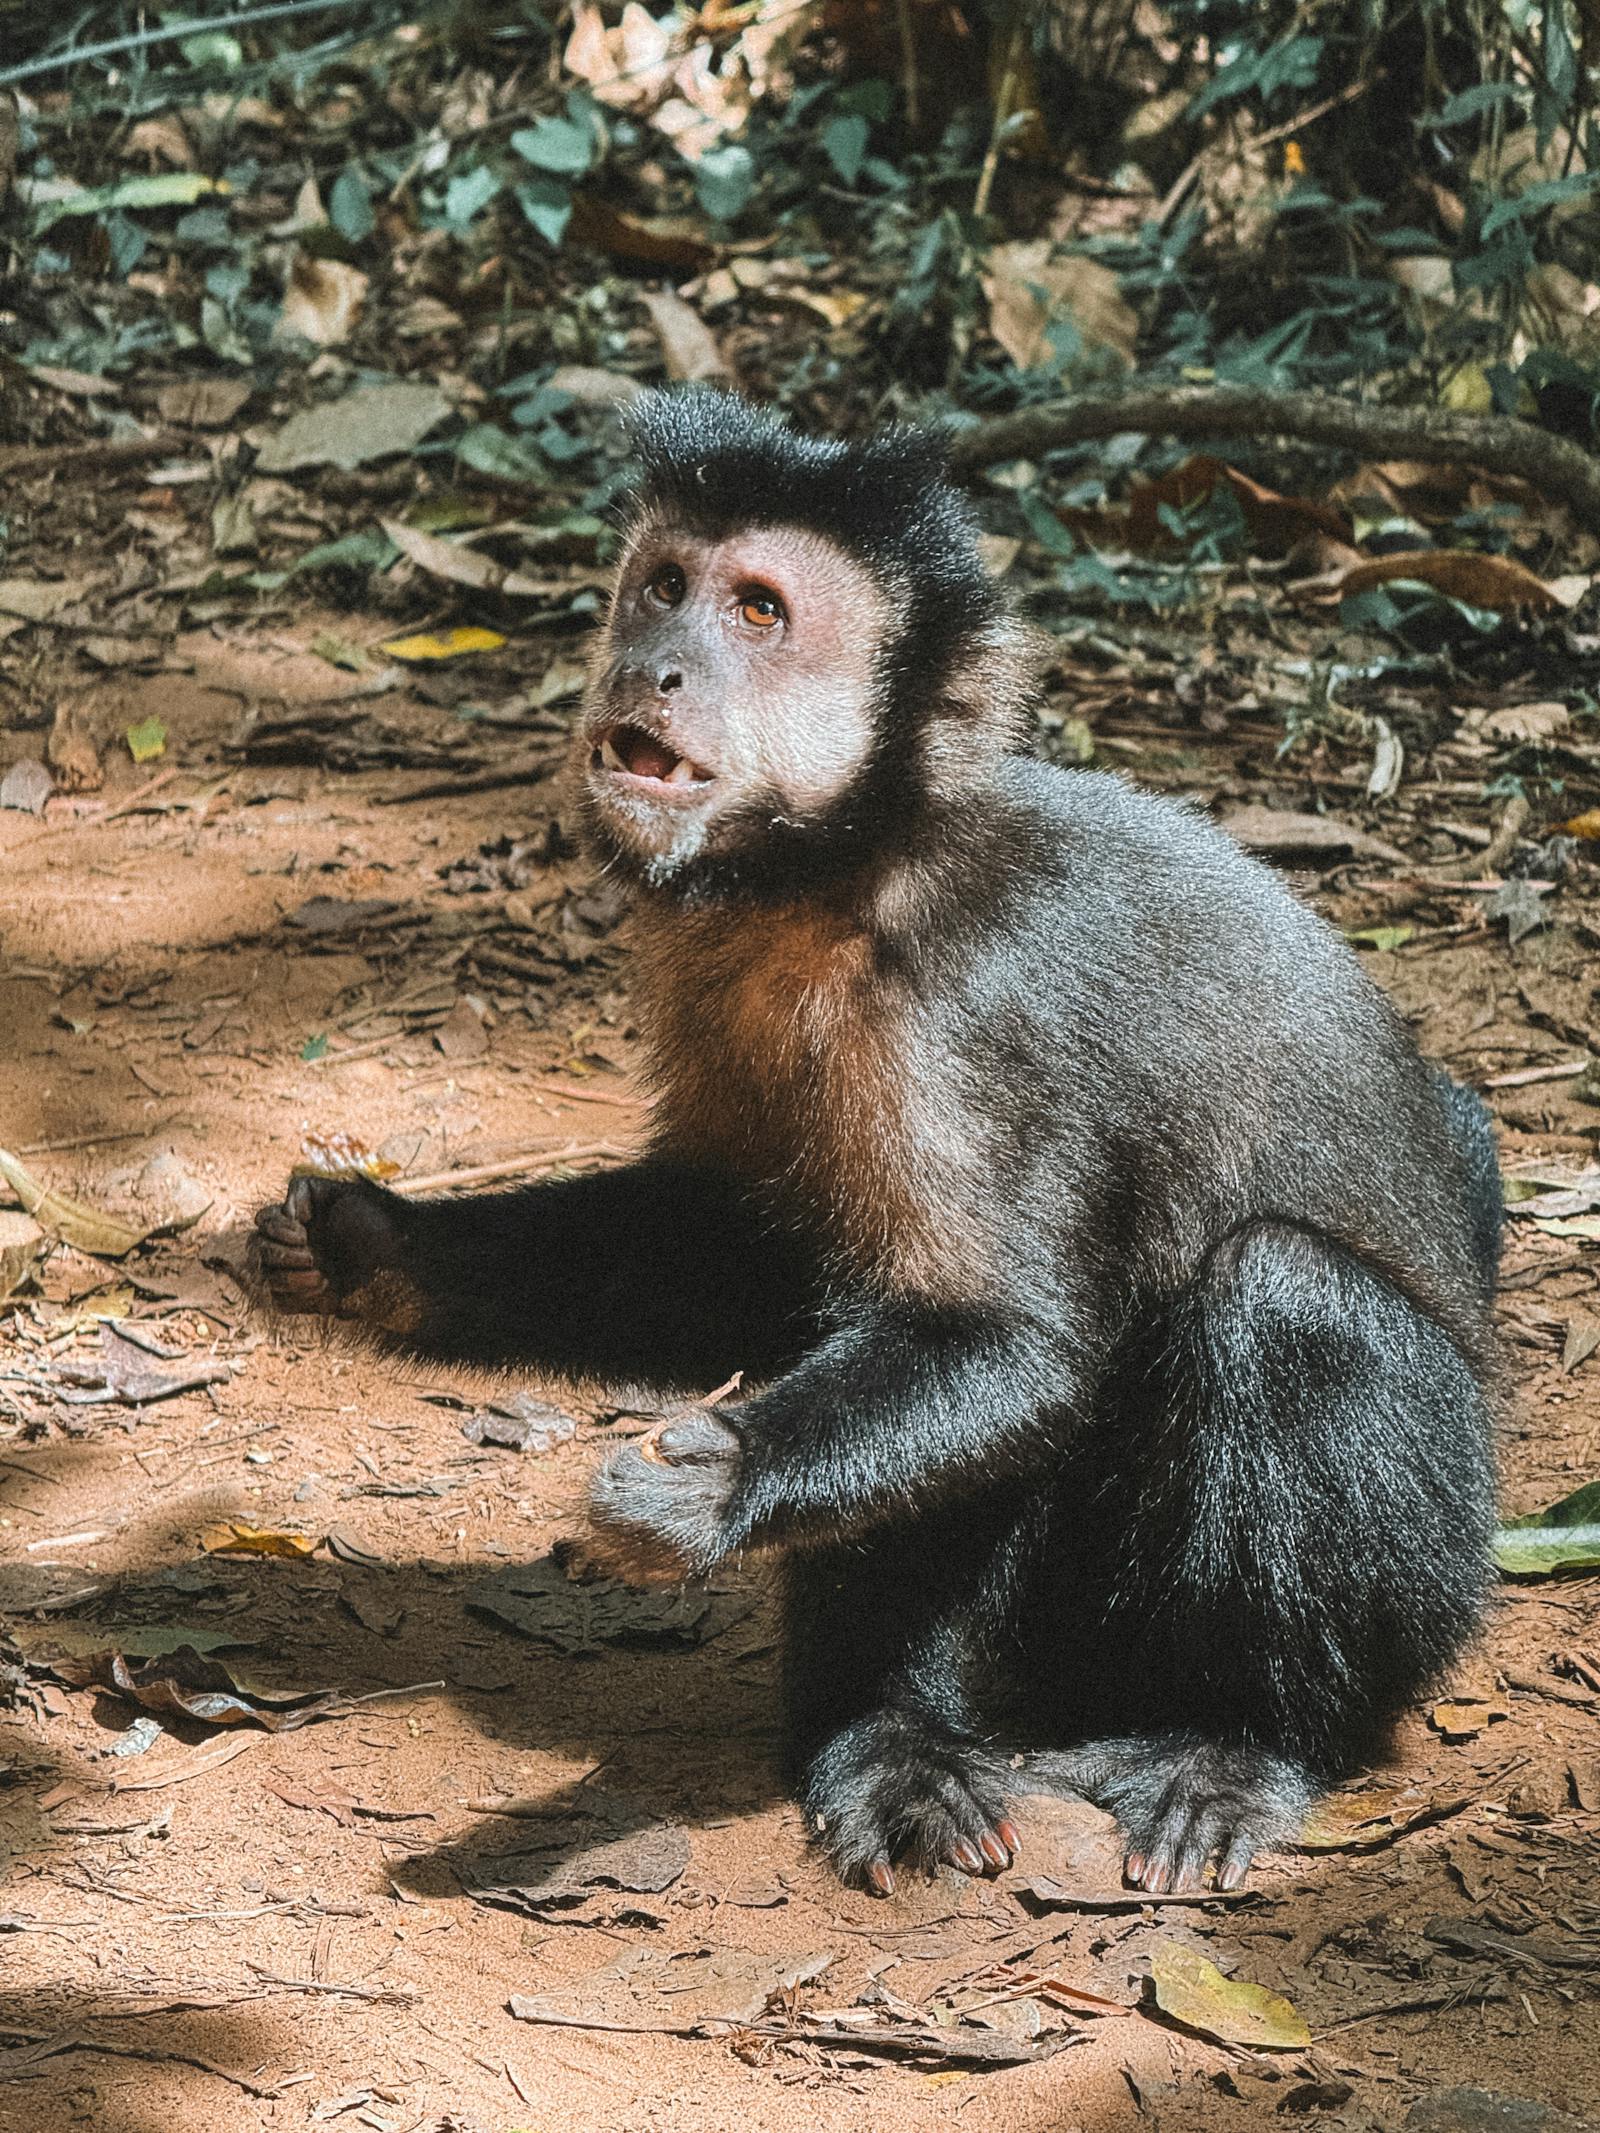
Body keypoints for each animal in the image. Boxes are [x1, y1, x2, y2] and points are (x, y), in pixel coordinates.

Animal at [256, 388, 1502, 1898]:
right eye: (662, 587)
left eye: (757, 610)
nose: (656, 669)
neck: (847, 870)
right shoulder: (714, 965)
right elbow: (737, 1255)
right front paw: (377, 1251)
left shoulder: (955, 1007)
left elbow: (1007, 1342)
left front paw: (721, 1480)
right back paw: (884, 1737)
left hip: (1423, 1579)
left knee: (1278, 1293)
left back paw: (1230, 1739)